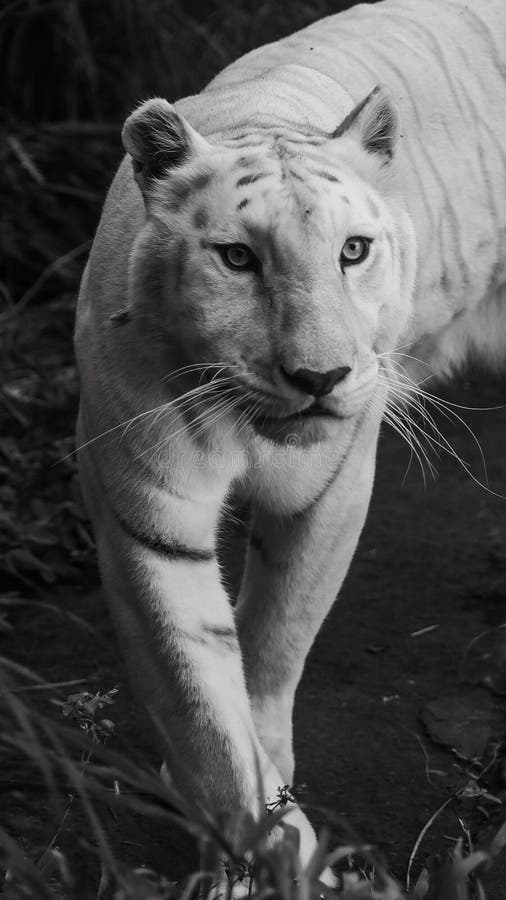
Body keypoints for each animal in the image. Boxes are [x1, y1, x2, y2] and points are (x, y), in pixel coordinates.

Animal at [74, 0, 506, 884]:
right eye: (237, 258)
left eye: (353, 250)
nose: (320, 376)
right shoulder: (146, 517)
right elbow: (201, 698)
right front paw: (259, 839)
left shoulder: (330, 489)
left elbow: (278, 633)